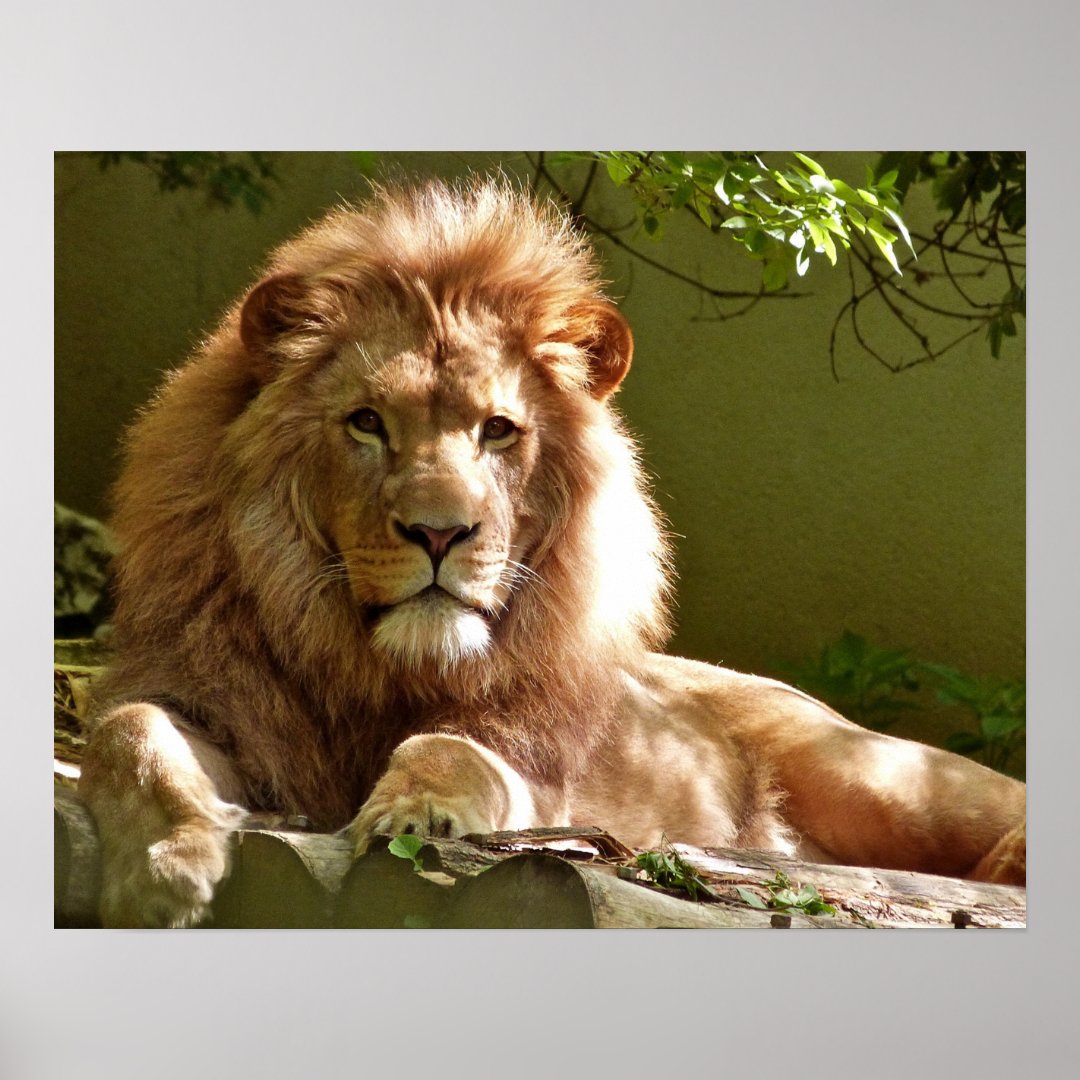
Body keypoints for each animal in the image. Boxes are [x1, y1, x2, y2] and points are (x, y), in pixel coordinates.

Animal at [78, 179, 1026, 927]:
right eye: (367, 423)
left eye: (498, 430)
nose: (440, 533)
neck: (375, 667)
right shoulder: (218, 703)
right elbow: (130, 731)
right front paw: (167, 867)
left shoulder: (540, 782)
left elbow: (453, 751)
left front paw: (417, 815)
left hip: (883, 777)